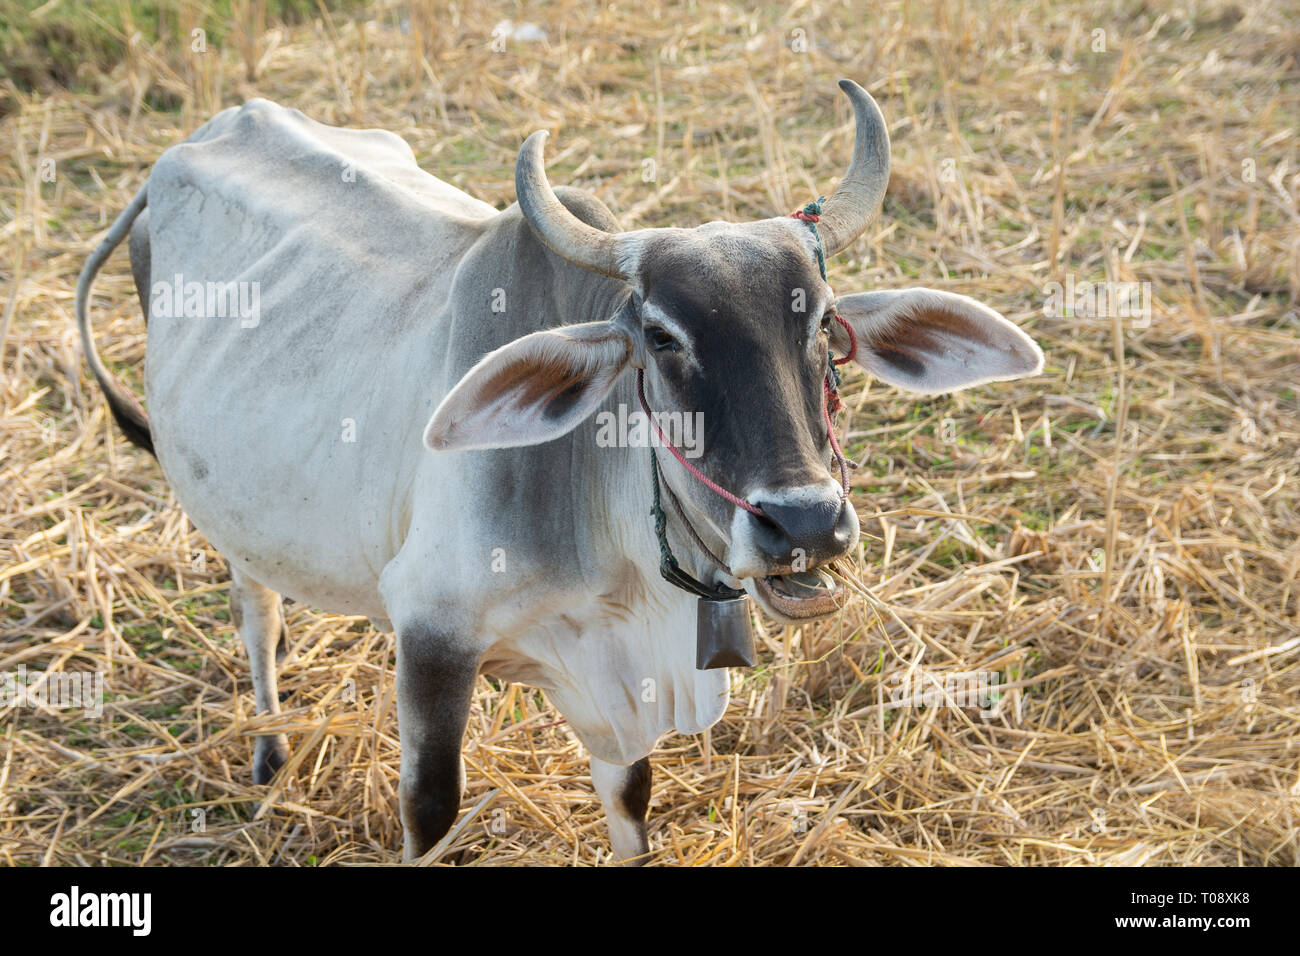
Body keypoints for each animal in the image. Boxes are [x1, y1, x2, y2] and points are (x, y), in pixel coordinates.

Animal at [76, 79, 1043, 864]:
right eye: (661, 335)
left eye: (825, 323)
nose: (804, 521)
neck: (623, 576)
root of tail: (203, 137)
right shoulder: (431, 631)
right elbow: (431, 811)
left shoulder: (618, 689)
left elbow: (630, 798)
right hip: (224, 509)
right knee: (256, 609)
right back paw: (271, 747)